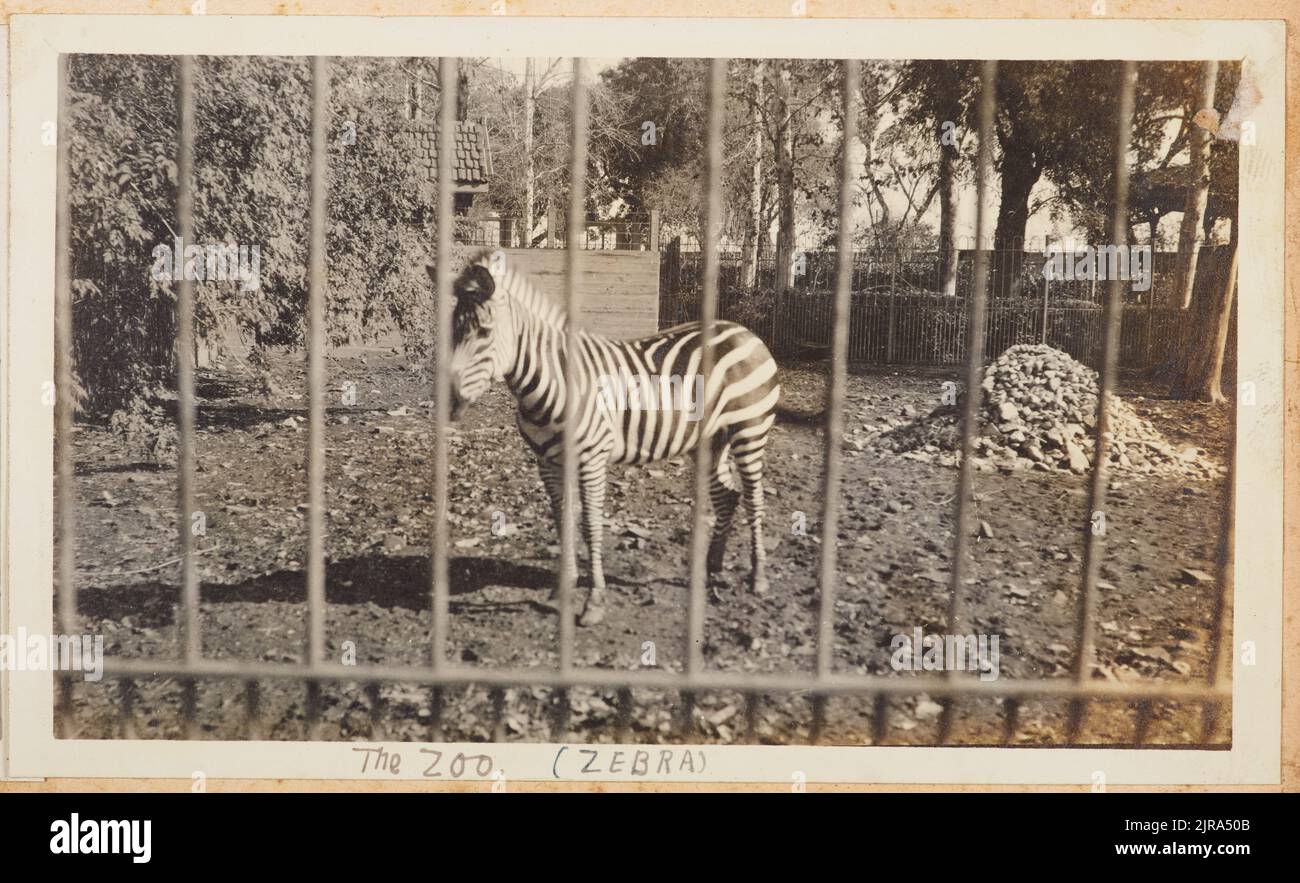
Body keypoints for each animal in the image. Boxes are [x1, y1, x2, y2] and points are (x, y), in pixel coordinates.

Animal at [431, 248, 780, 626]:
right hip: (710, 440)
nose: (446, 402)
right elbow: (562, 520)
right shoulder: (546, 461)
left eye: (484, 332)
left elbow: (590, 524)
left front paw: (594, 600)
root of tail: (743, 330)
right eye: (451, 331)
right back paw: (711, 566)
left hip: (750, 430)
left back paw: (758, 577)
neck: (553, 381)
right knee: (727, 495)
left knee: (754, 498)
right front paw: (562, 589)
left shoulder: (591, 458)